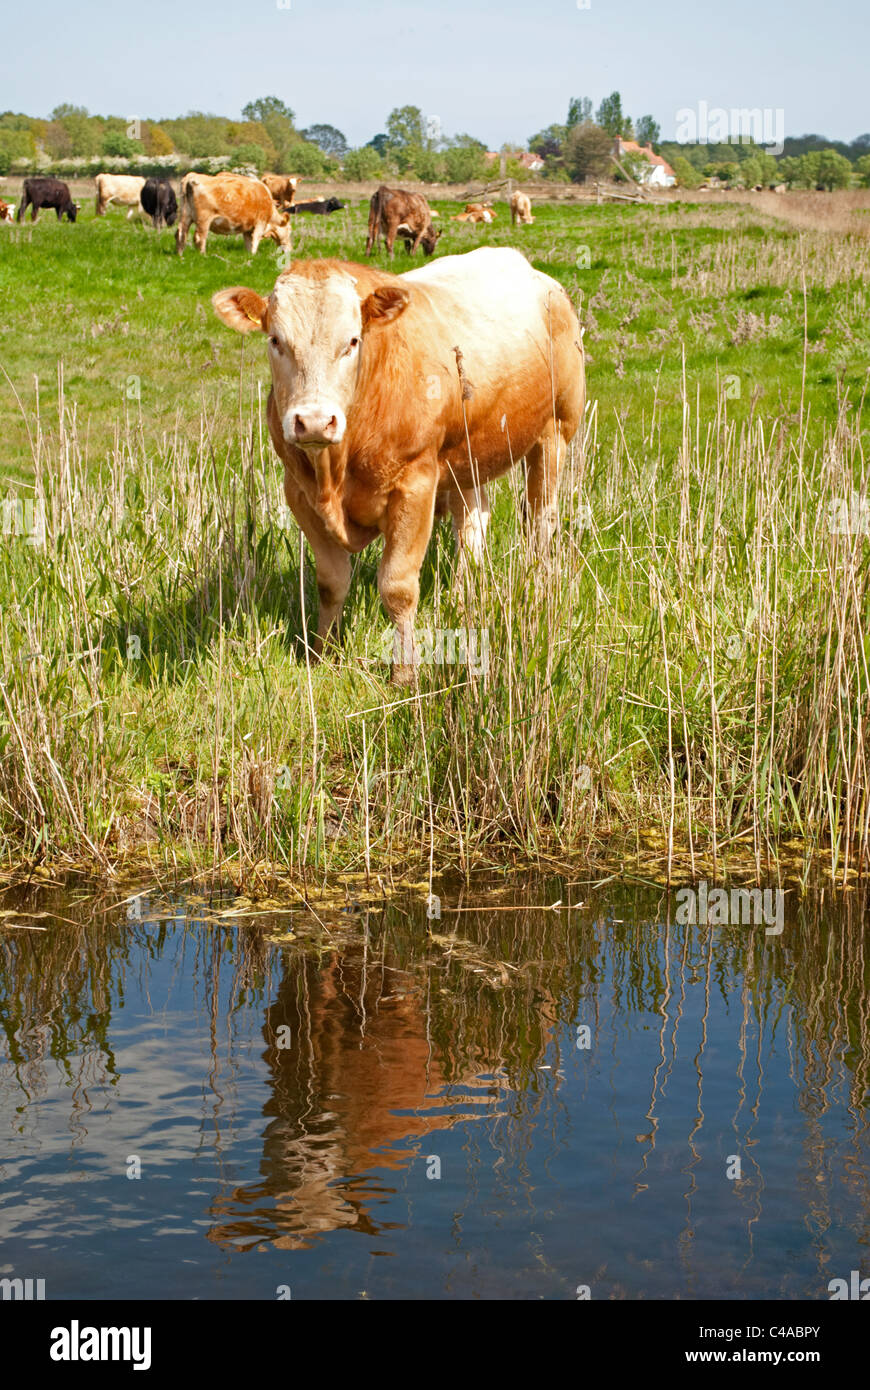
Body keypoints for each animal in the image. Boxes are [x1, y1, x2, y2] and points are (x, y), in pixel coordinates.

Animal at [211, 247, 586, 682]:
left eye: (352, 341)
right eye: (275, 340)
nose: (315, 421)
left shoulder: (414, 486)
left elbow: (397, 586)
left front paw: (404, 673)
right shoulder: (299, 493)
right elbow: (330, 583)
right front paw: (321, 656)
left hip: (554, 432)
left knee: (541, 520)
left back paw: (537, 588)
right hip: (467, 457)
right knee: (473, 522)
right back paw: (461, 597)